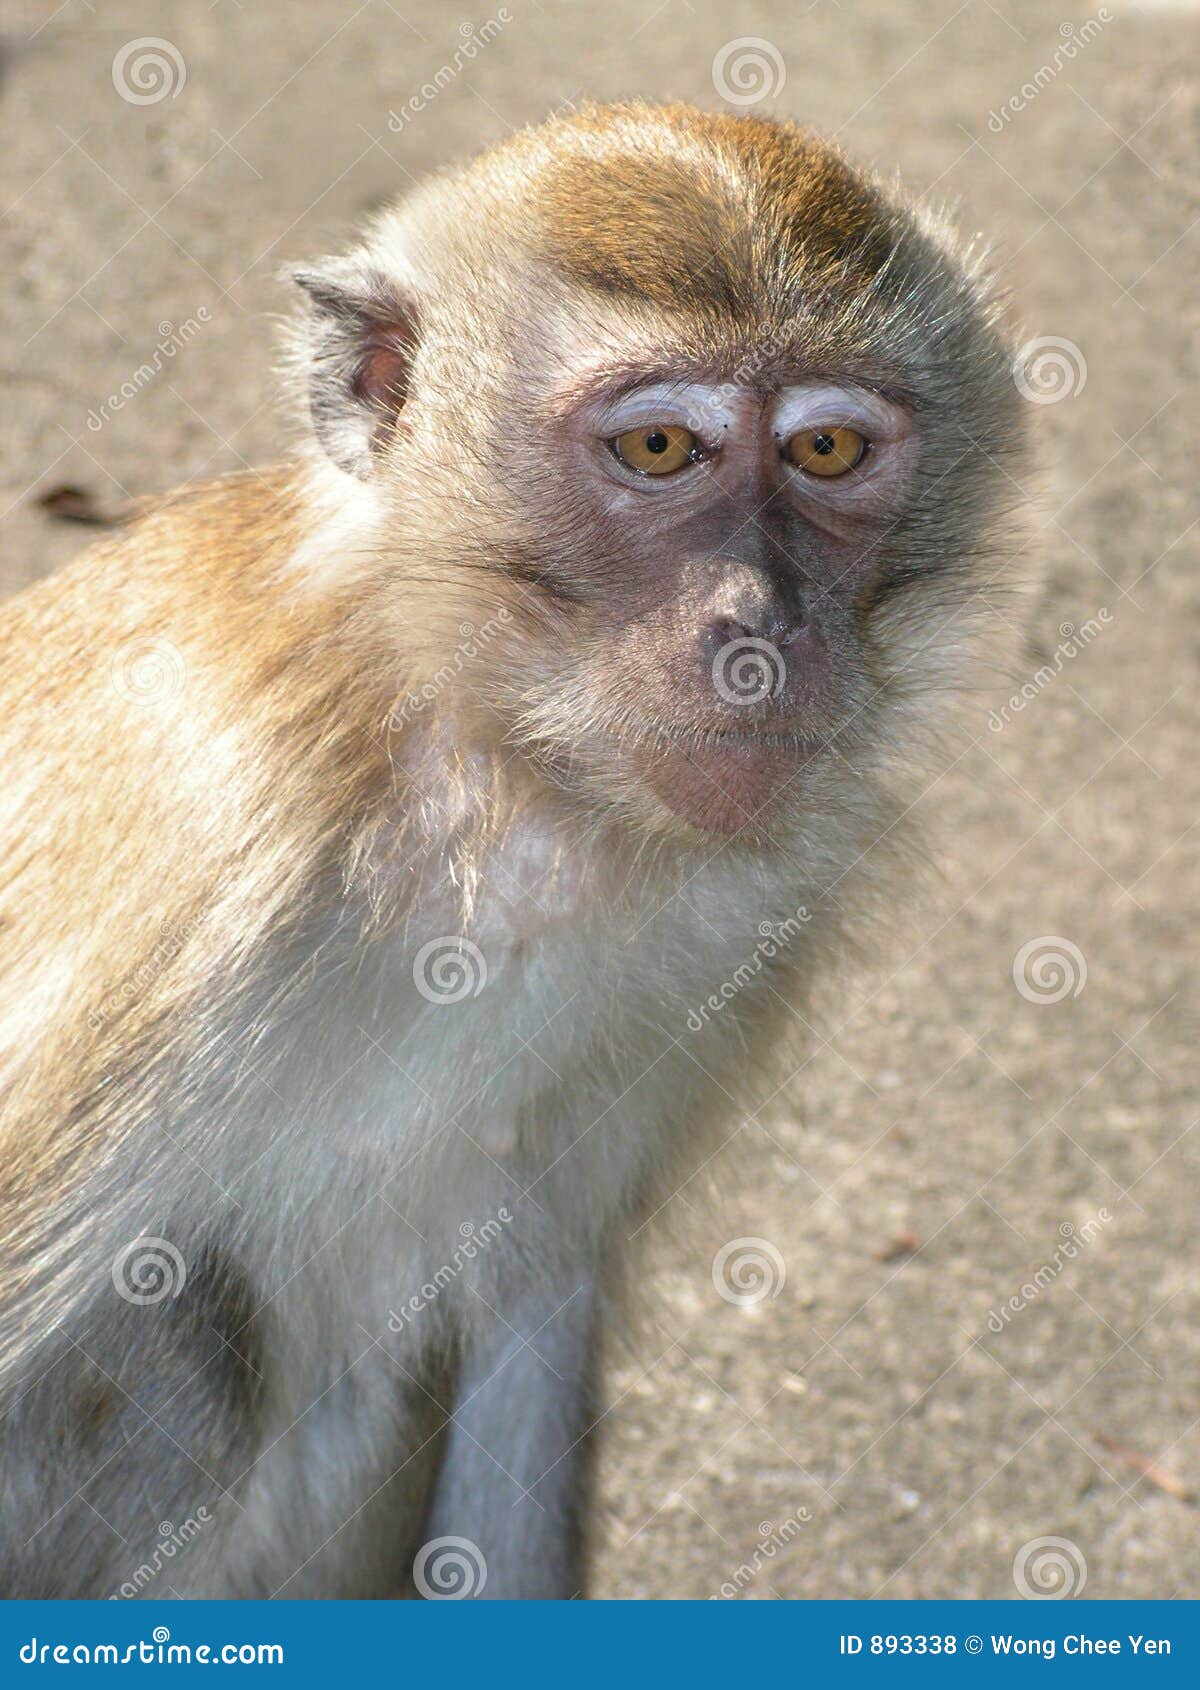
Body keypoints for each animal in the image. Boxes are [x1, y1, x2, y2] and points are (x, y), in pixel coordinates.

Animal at [0, 101, 1027, 1600]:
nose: (762, 627)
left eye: (829, 453)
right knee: (179, 1344)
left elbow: (537, 1298)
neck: (495, 770)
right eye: (657, 450)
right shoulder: (222, 833)